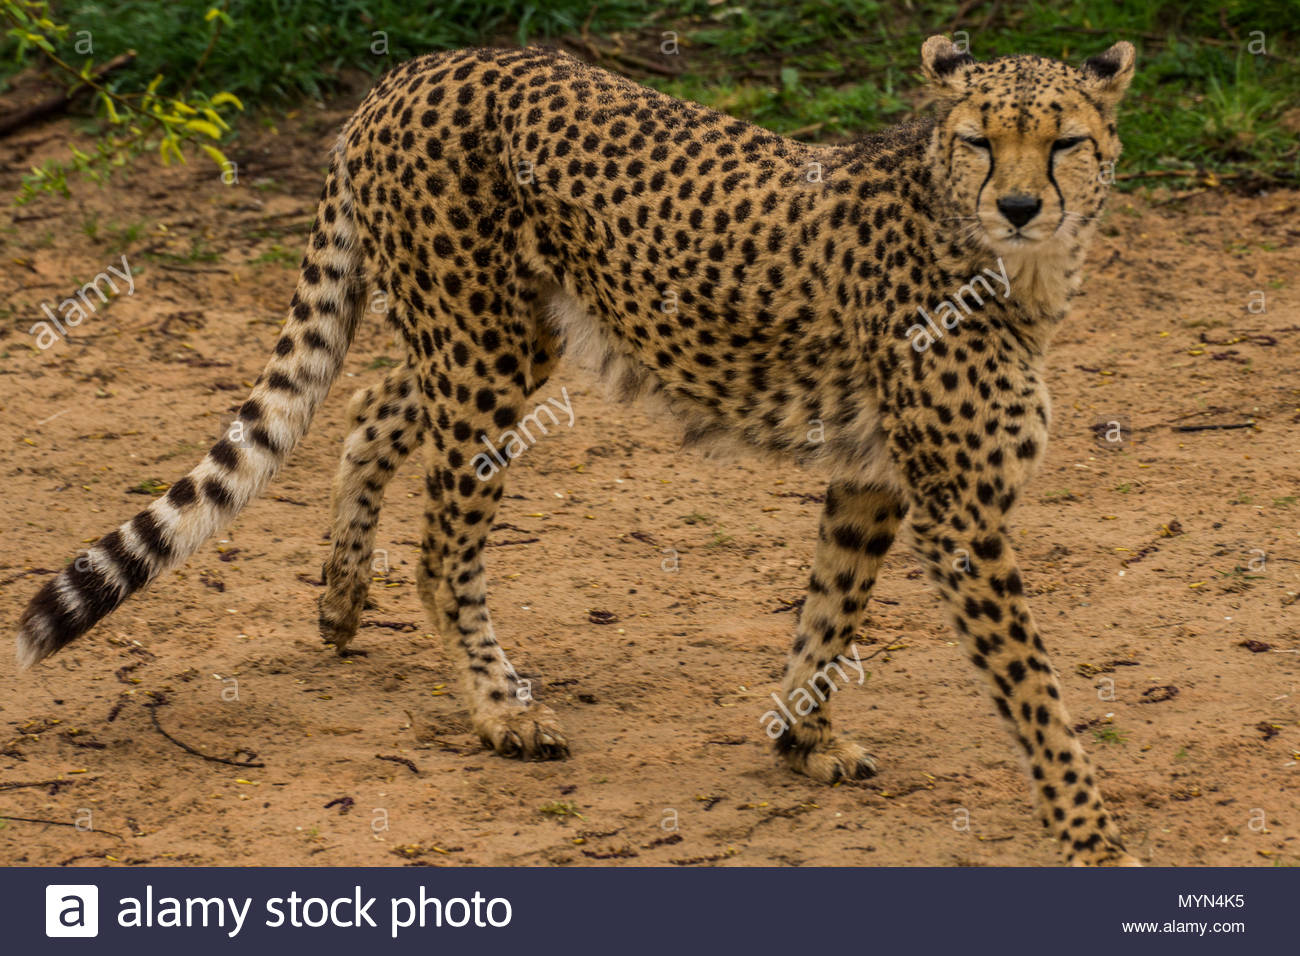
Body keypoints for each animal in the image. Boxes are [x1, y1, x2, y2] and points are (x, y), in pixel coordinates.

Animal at [16, 35, 1140, 865]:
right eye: (981, 141)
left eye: (1065, 142)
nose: (1021, 205)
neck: (1011, 266)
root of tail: (415, 68)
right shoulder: (962, 513)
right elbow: (1035, 690)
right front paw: (1092, 835)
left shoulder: (871, 482)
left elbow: (830, 611)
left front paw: (801, 737)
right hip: (482, 352)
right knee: (443, 550)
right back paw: (497, 709)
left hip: (494, 339)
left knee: (374, 403)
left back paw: (340, 597)